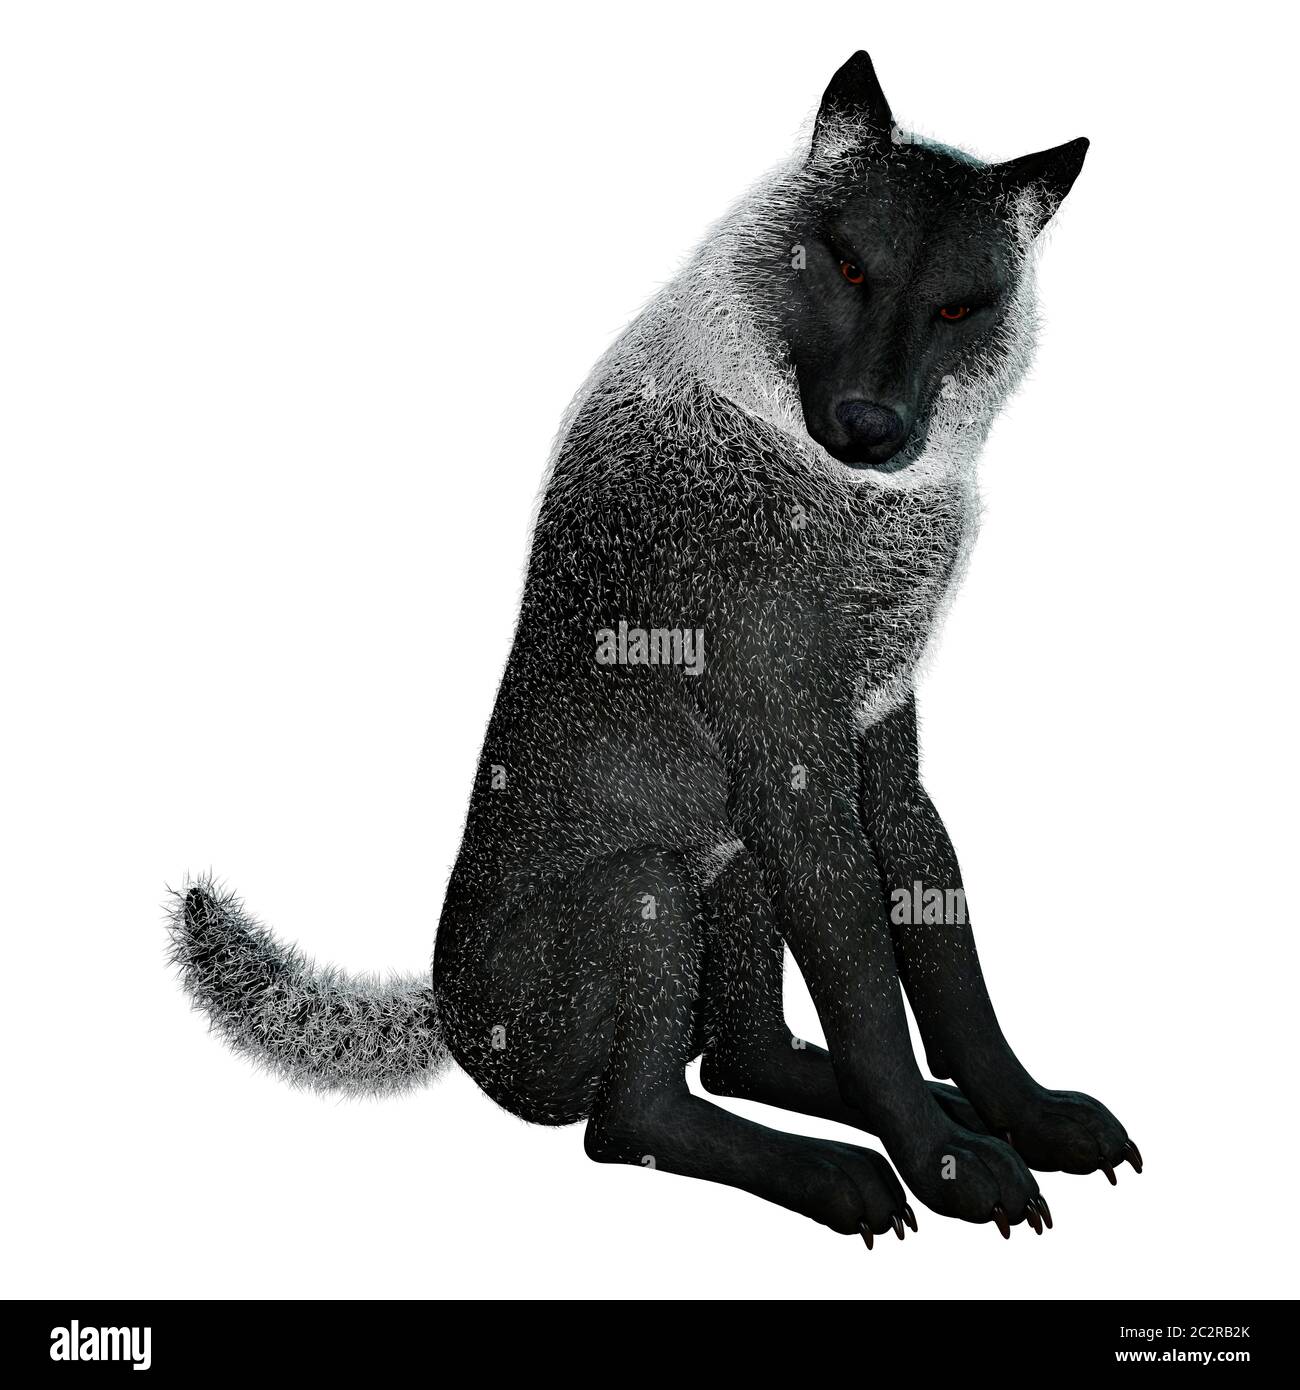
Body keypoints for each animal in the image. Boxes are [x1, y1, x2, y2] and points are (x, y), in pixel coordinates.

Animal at [170, 52, 1140, 1246]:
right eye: (847, 265)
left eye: (961, 304)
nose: (870, 428)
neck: (841, 494)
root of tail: (449, 1015)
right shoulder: (794, 764)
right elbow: (870, 994)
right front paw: (946, 1163)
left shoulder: (875, 748)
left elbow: (947, 962)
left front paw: (1018, 1114)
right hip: (650, 890)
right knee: (629, 1118)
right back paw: (840, 1173)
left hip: (732, 862)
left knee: (741, 1057)